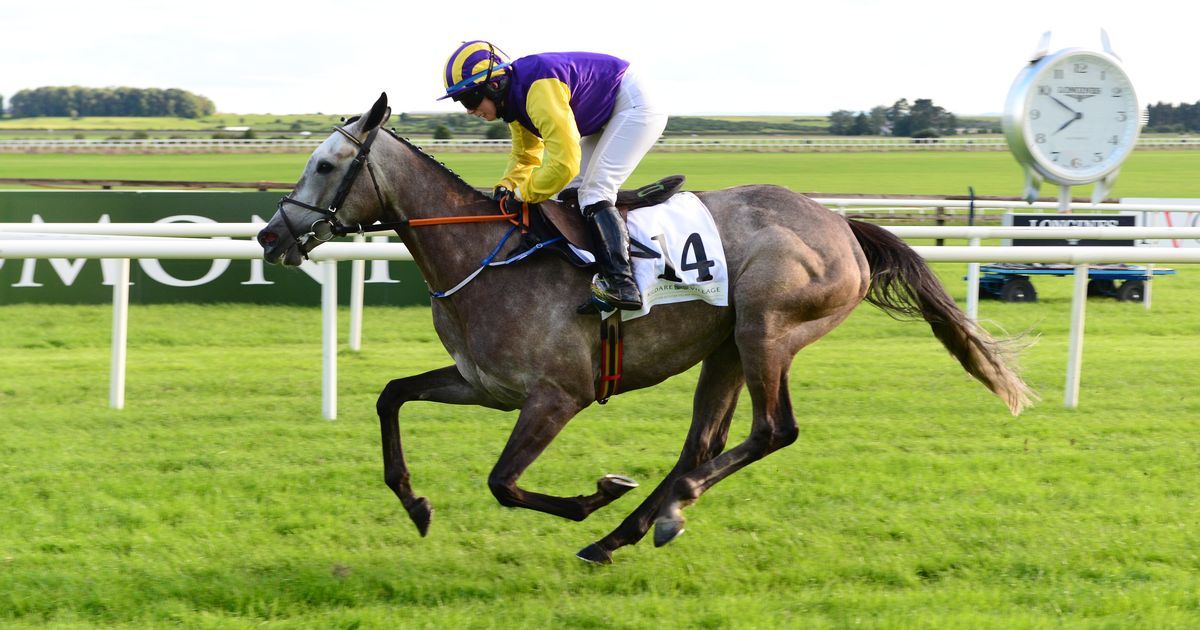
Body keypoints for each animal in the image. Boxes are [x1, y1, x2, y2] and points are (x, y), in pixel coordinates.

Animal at [257, 93, 1033, 564]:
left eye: (325, 164)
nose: (269, 236)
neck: (483, 255)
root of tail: (841, 223)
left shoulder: (556, 396)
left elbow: (504, 482)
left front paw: (594, 494)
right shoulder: (485, 386)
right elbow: (391, 394)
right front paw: (415, 504)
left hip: (767, 330)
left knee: (771, 431)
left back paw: (659, 513)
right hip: (725, 349)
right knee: (705, 443)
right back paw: (627, 532)